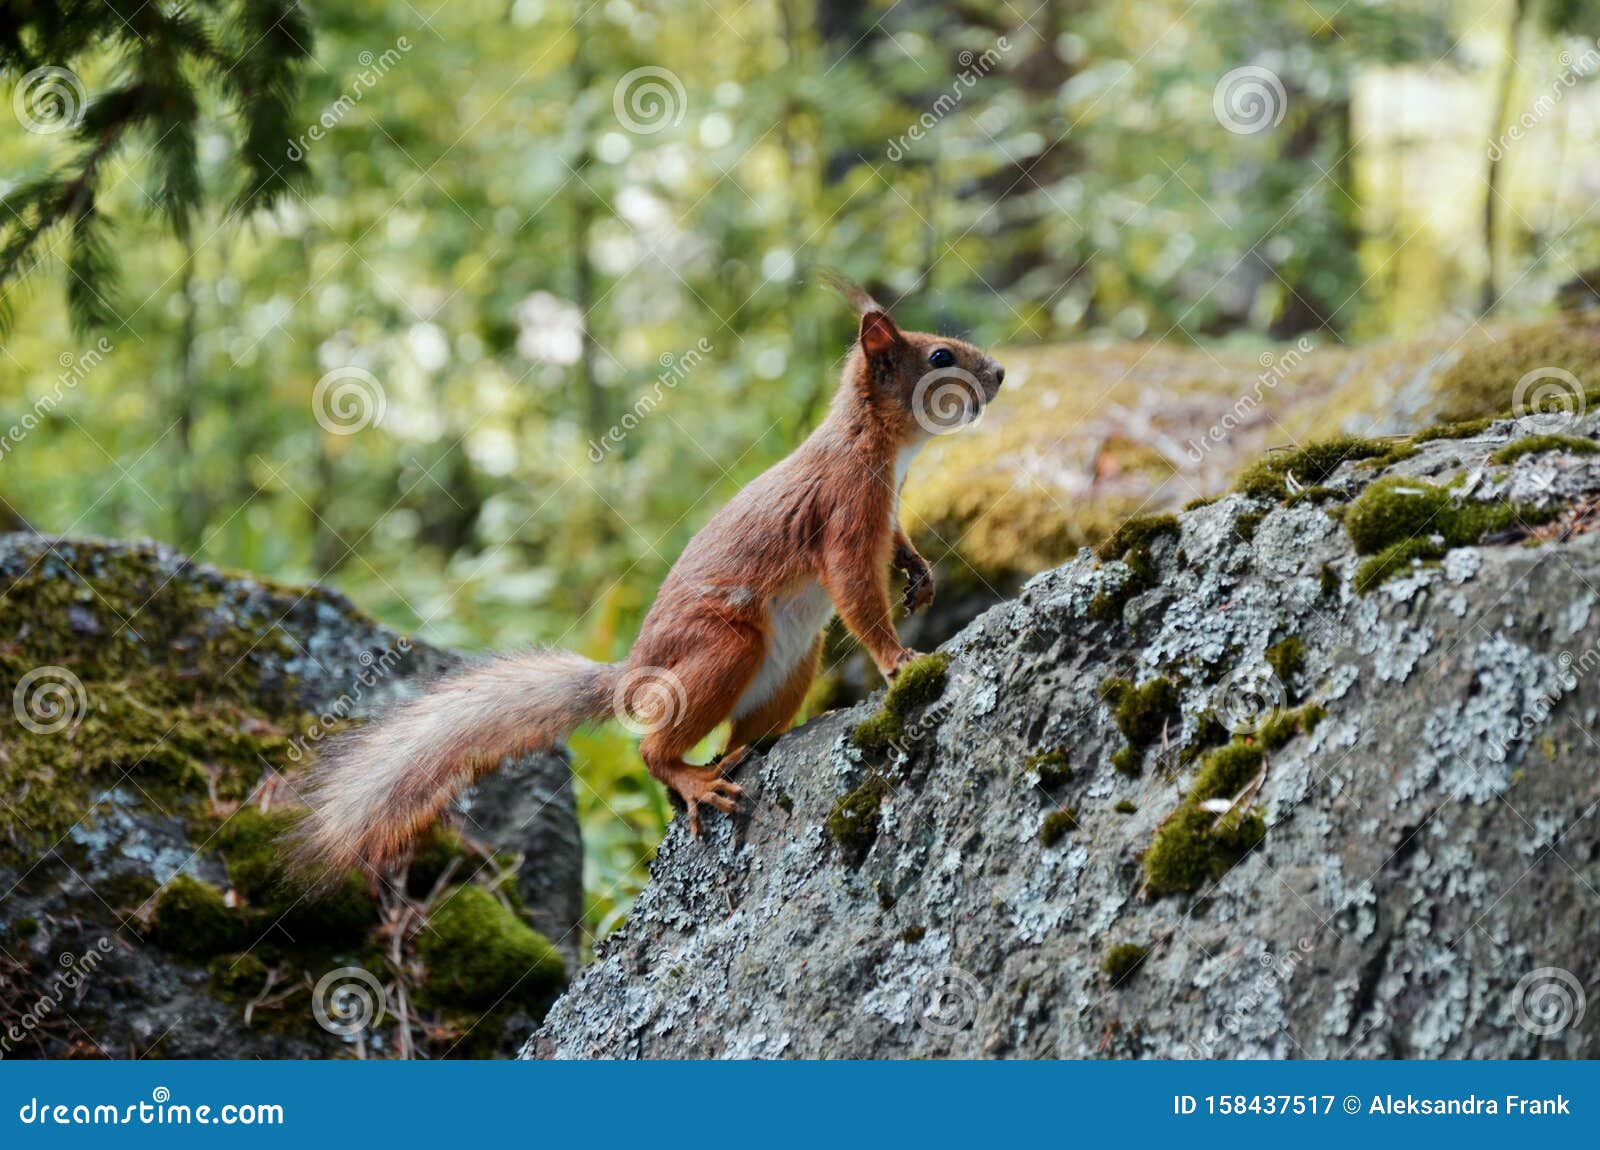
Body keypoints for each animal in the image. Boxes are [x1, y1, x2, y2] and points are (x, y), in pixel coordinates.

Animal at [292, 275, 1004, 878]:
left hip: (790, 671)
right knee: (653, 752)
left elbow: (898, 546)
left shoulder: (886, 517)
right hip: (722, 647)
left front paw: (919, 575)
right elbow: (857, 590)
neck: (879, 444)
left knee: (739, 736)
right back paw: (696, 781)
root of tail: (634, 679)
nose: (999, 373)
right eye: (939, 356)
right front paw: (898, 659)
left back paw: (749, 752)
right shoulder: (843, 514)